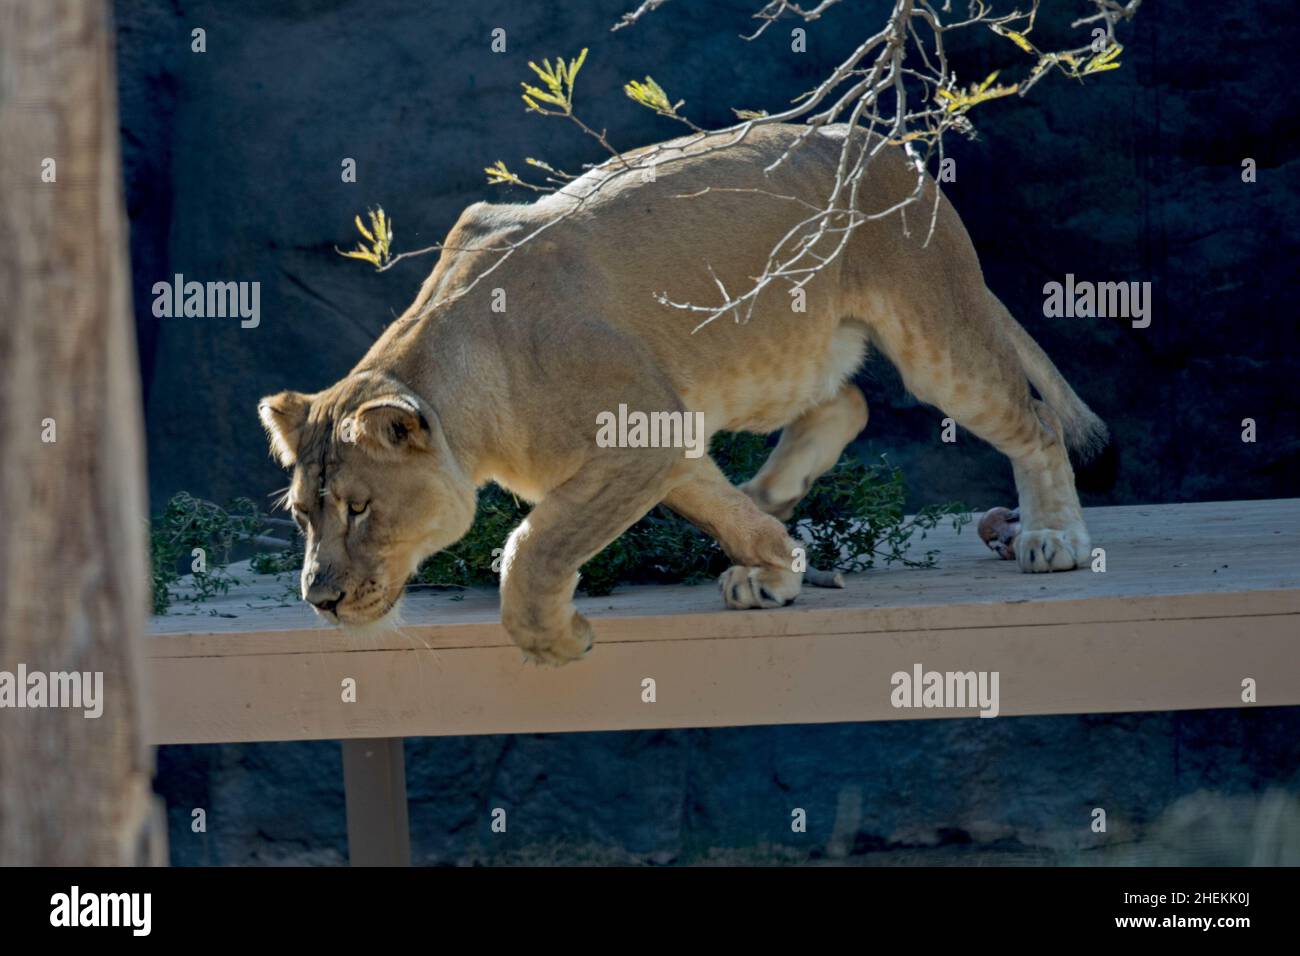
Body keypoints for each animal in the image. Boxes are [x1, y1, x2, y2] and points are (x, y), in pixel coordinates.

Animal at [259, 123, 1106, 664]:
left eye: (361, 509)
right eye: (303, 516)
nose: (319, 599)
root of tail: (885, 143)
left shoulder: (643, 430)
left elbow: (535, 546)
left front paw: (557, 641)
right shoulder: (668, 436)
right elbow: (717, 506)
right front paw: (775, 564)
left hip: (935, 336)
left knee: (1030, 419)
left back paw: (1053, 538)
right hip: (773, 362)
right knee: (847, 403)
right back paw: (774, 498)